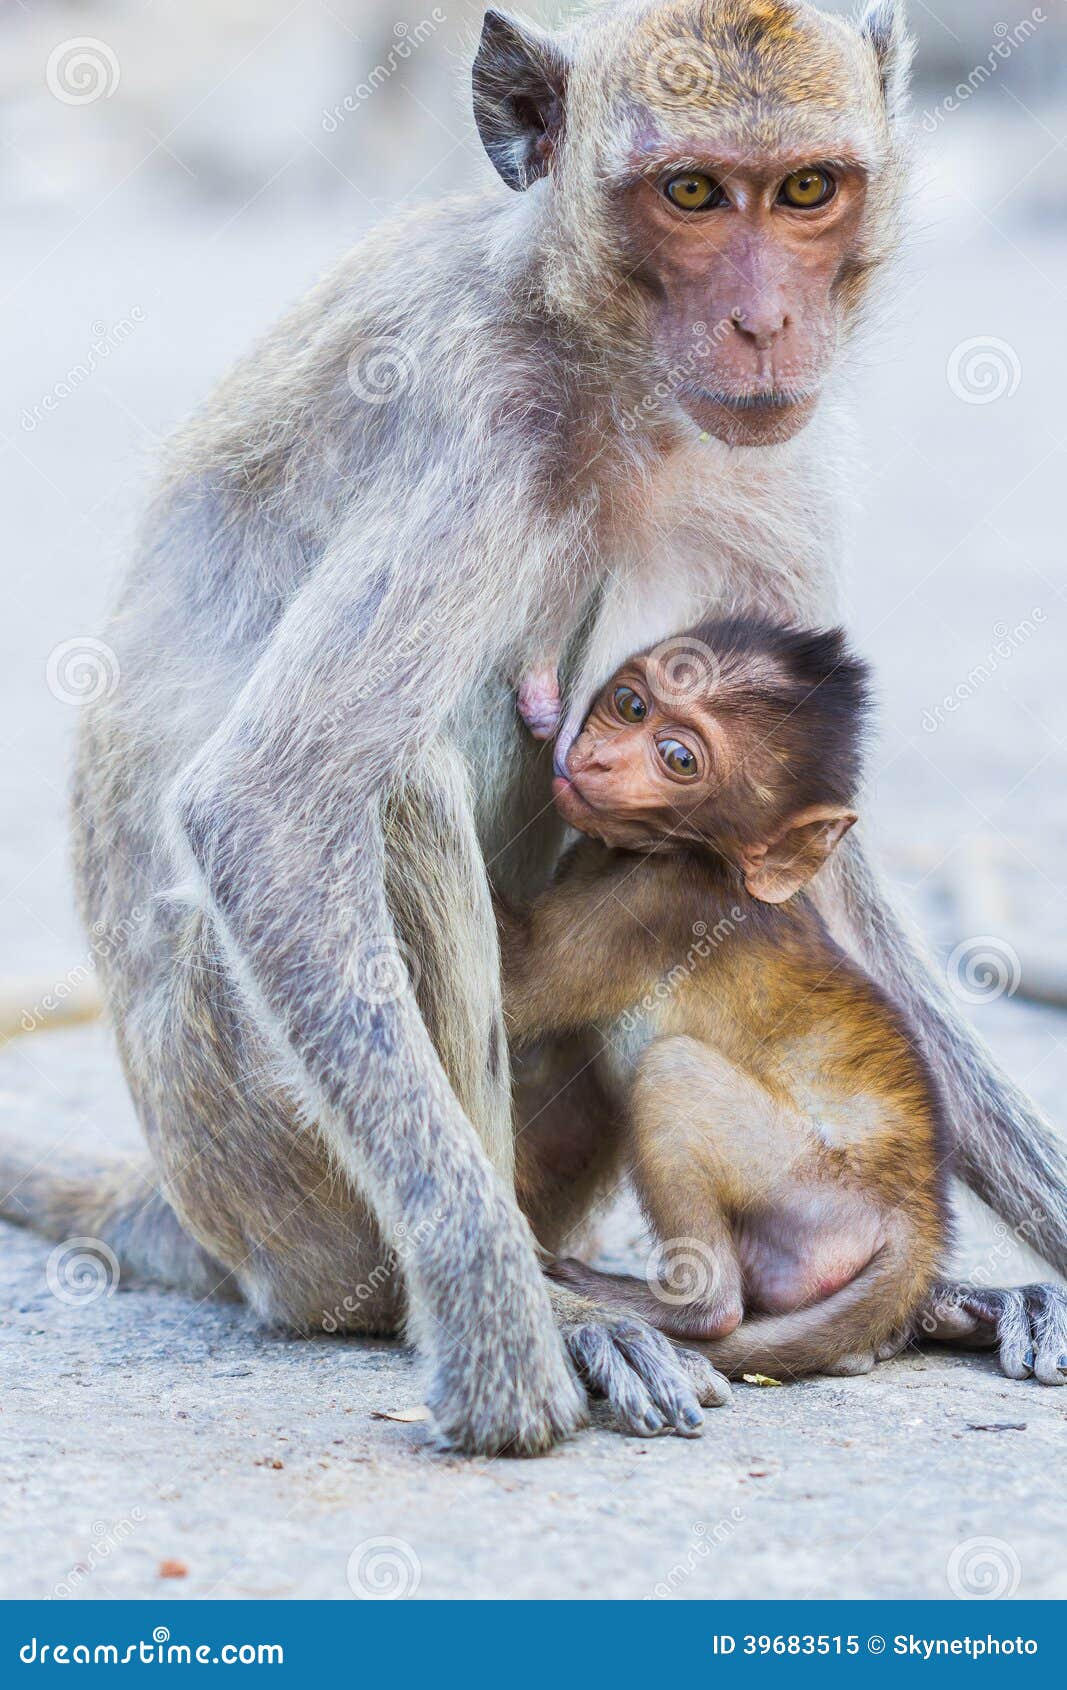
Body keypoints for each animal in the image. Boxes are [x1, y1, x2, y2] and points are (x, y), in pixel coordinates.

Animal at [501, 617, 949, 1380]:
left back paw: (684, 1305)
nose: (599, 761)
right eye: (629, 705)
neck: (693, 854)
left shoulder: (654, 903)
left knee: (673, 1072)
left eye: (678, 758)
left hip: (808, 1186)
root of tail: (915, 1214)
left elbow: (518, 993)